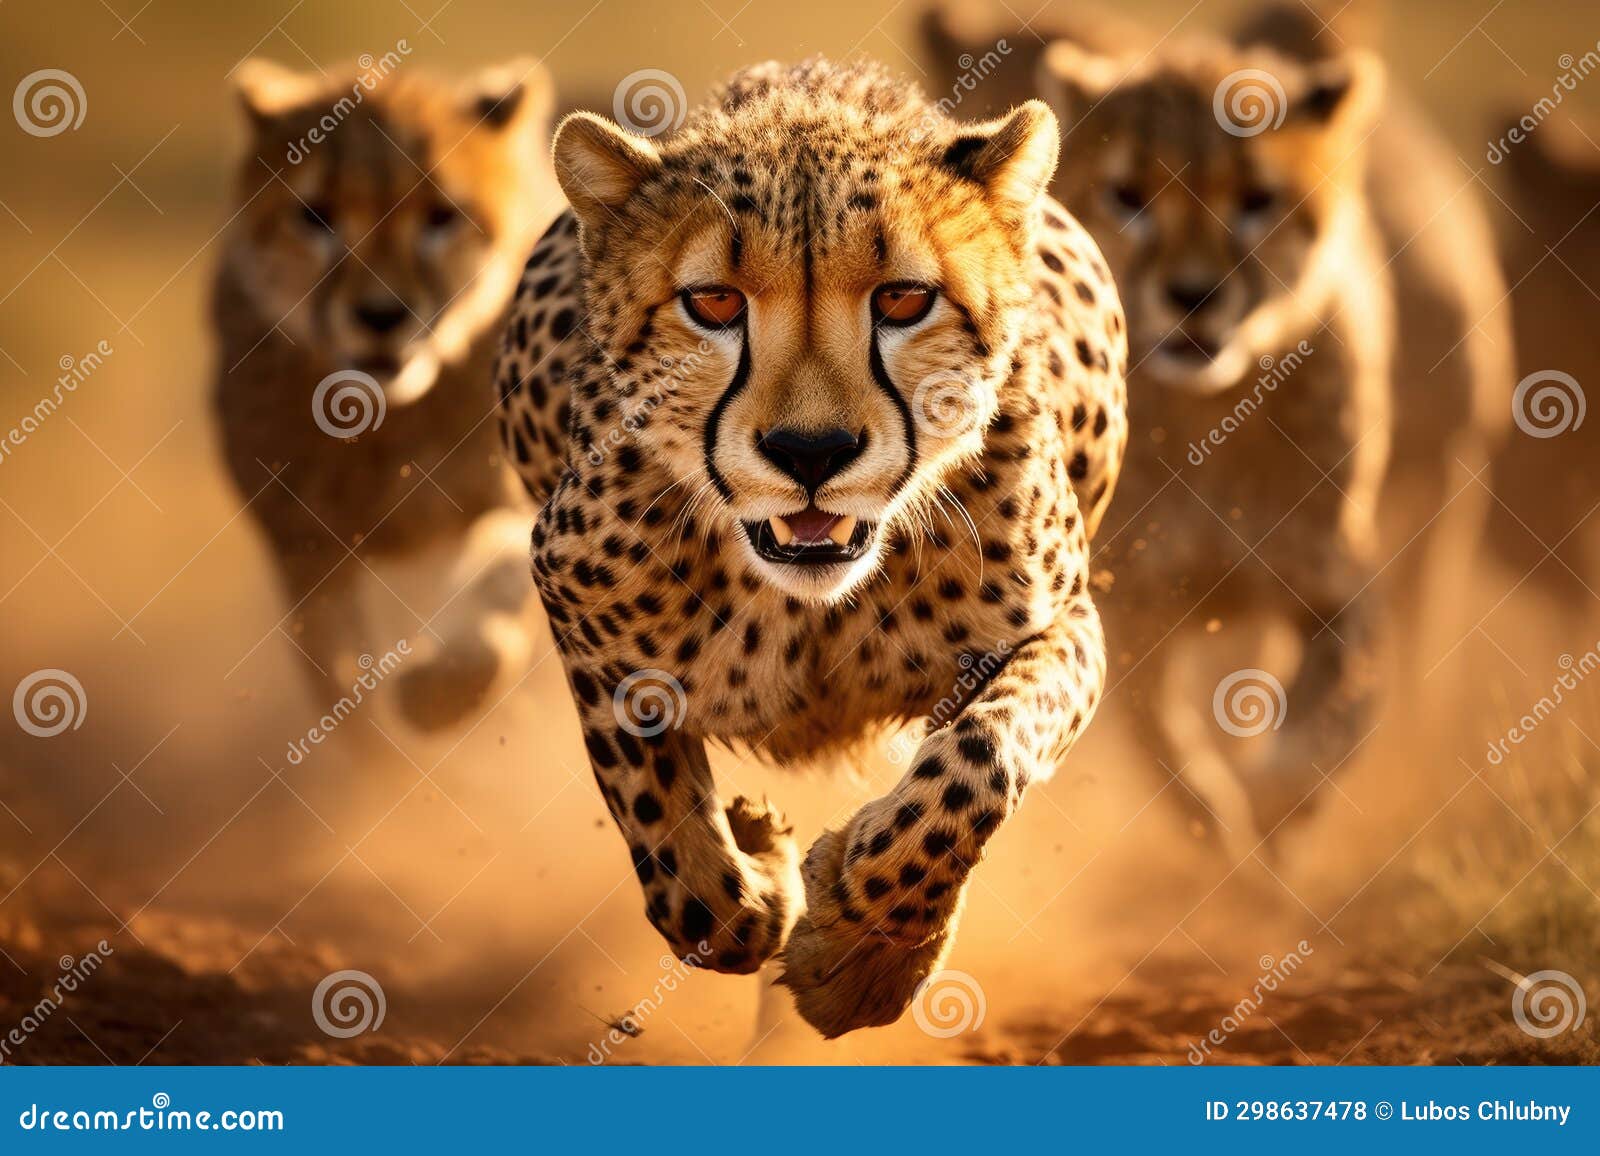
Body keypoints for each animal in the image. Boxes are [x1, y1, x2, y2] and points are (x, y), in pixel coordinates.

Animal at [212, 57, 560, 730]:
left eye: (440, 218)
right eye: (316, 216)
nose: (380, 315)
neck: (384, 420)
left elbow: (498, 581)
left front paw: (438, 692)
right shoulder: (308, 554)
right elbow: (343, 688)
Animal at [494, 58, 1127, 1037]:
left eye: (904, 298)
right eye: (713, 302)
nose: (811, 452)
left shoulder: (1060, 624)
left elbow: (983, 759)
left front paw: (862, 952)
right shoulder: (582, 620)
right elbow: (668, 840)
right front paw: (755, 875)